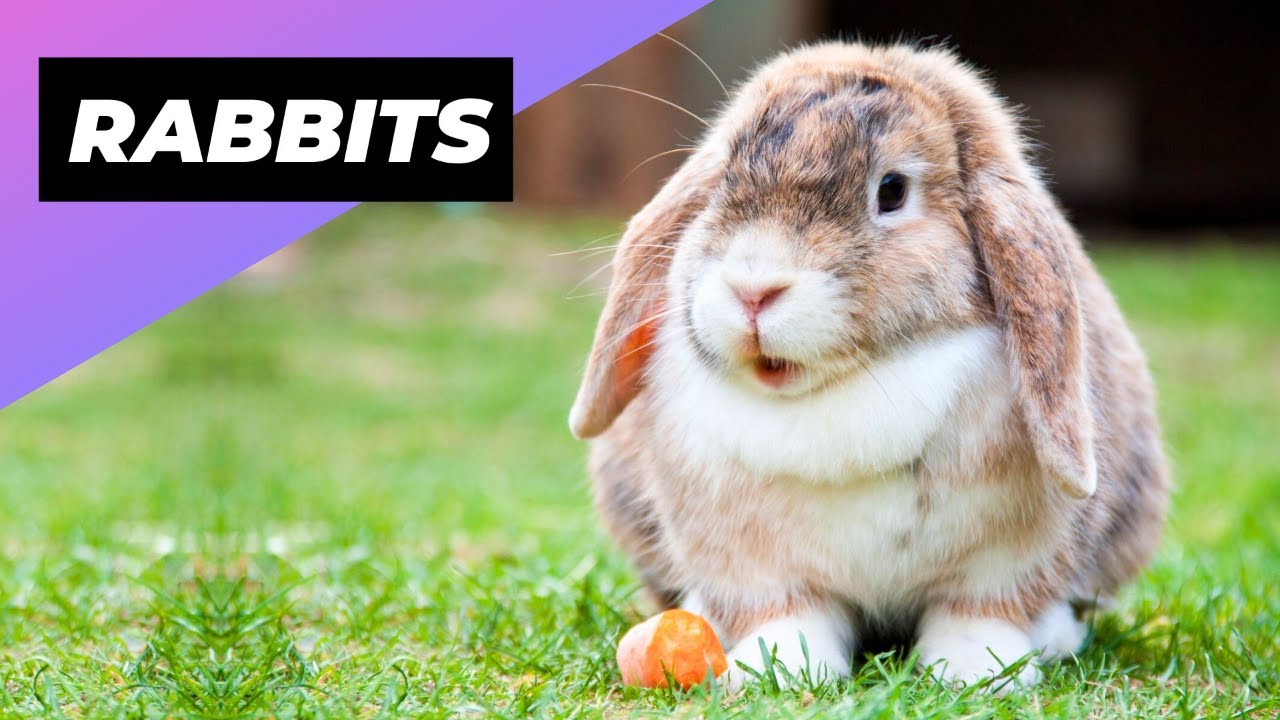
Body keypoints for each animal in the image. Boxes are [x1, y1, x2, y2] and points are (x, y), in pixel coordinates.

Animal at [569, 41, 1168, 691]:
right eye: (725, 175)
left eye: (892, 191)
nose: (753, 289)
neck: (845, 389)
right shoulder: (752, 563)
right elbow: (787, 614)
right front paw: (779, 671)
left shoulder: (1005, 560)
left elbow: (978, 612)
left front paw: (977, 671)